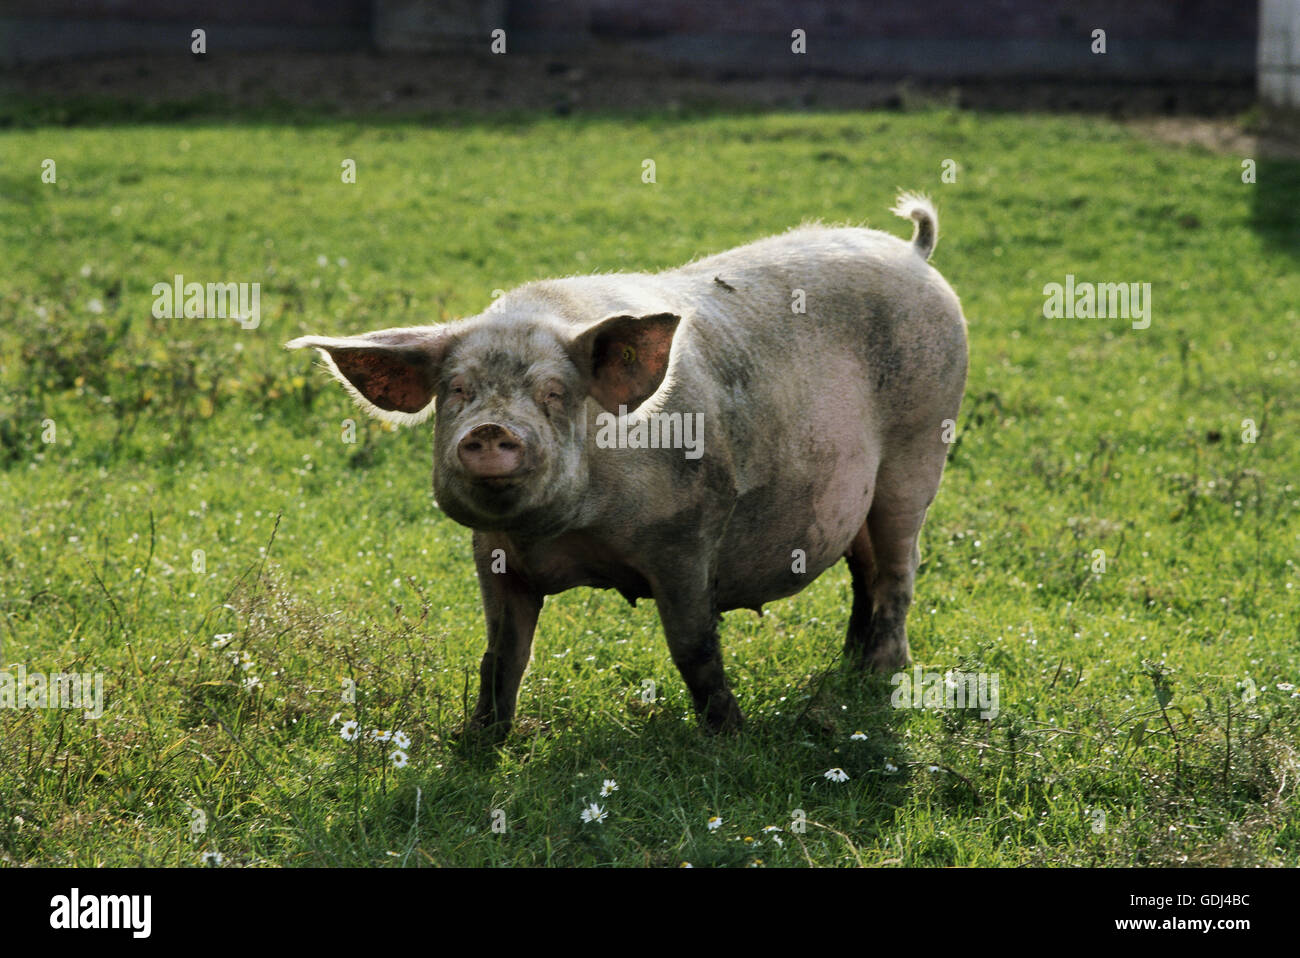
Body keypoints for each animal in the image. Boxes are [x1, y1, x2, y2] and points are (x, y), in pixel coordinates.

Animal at [287, 192, 967, 740]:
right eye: (457, 391)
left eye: (555, 393)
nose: (490, 428)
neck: (572, 534)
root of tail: (916, 254)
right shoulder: (493, 552)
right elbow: (501, 655)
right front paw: (476, 745)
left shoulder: (689, 532)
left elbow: (694, 647)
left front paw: (731, 738)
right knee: (864, 569)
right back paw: (849, 665)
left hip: (919, 450)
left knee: (900, 567)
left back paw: (880, 671)